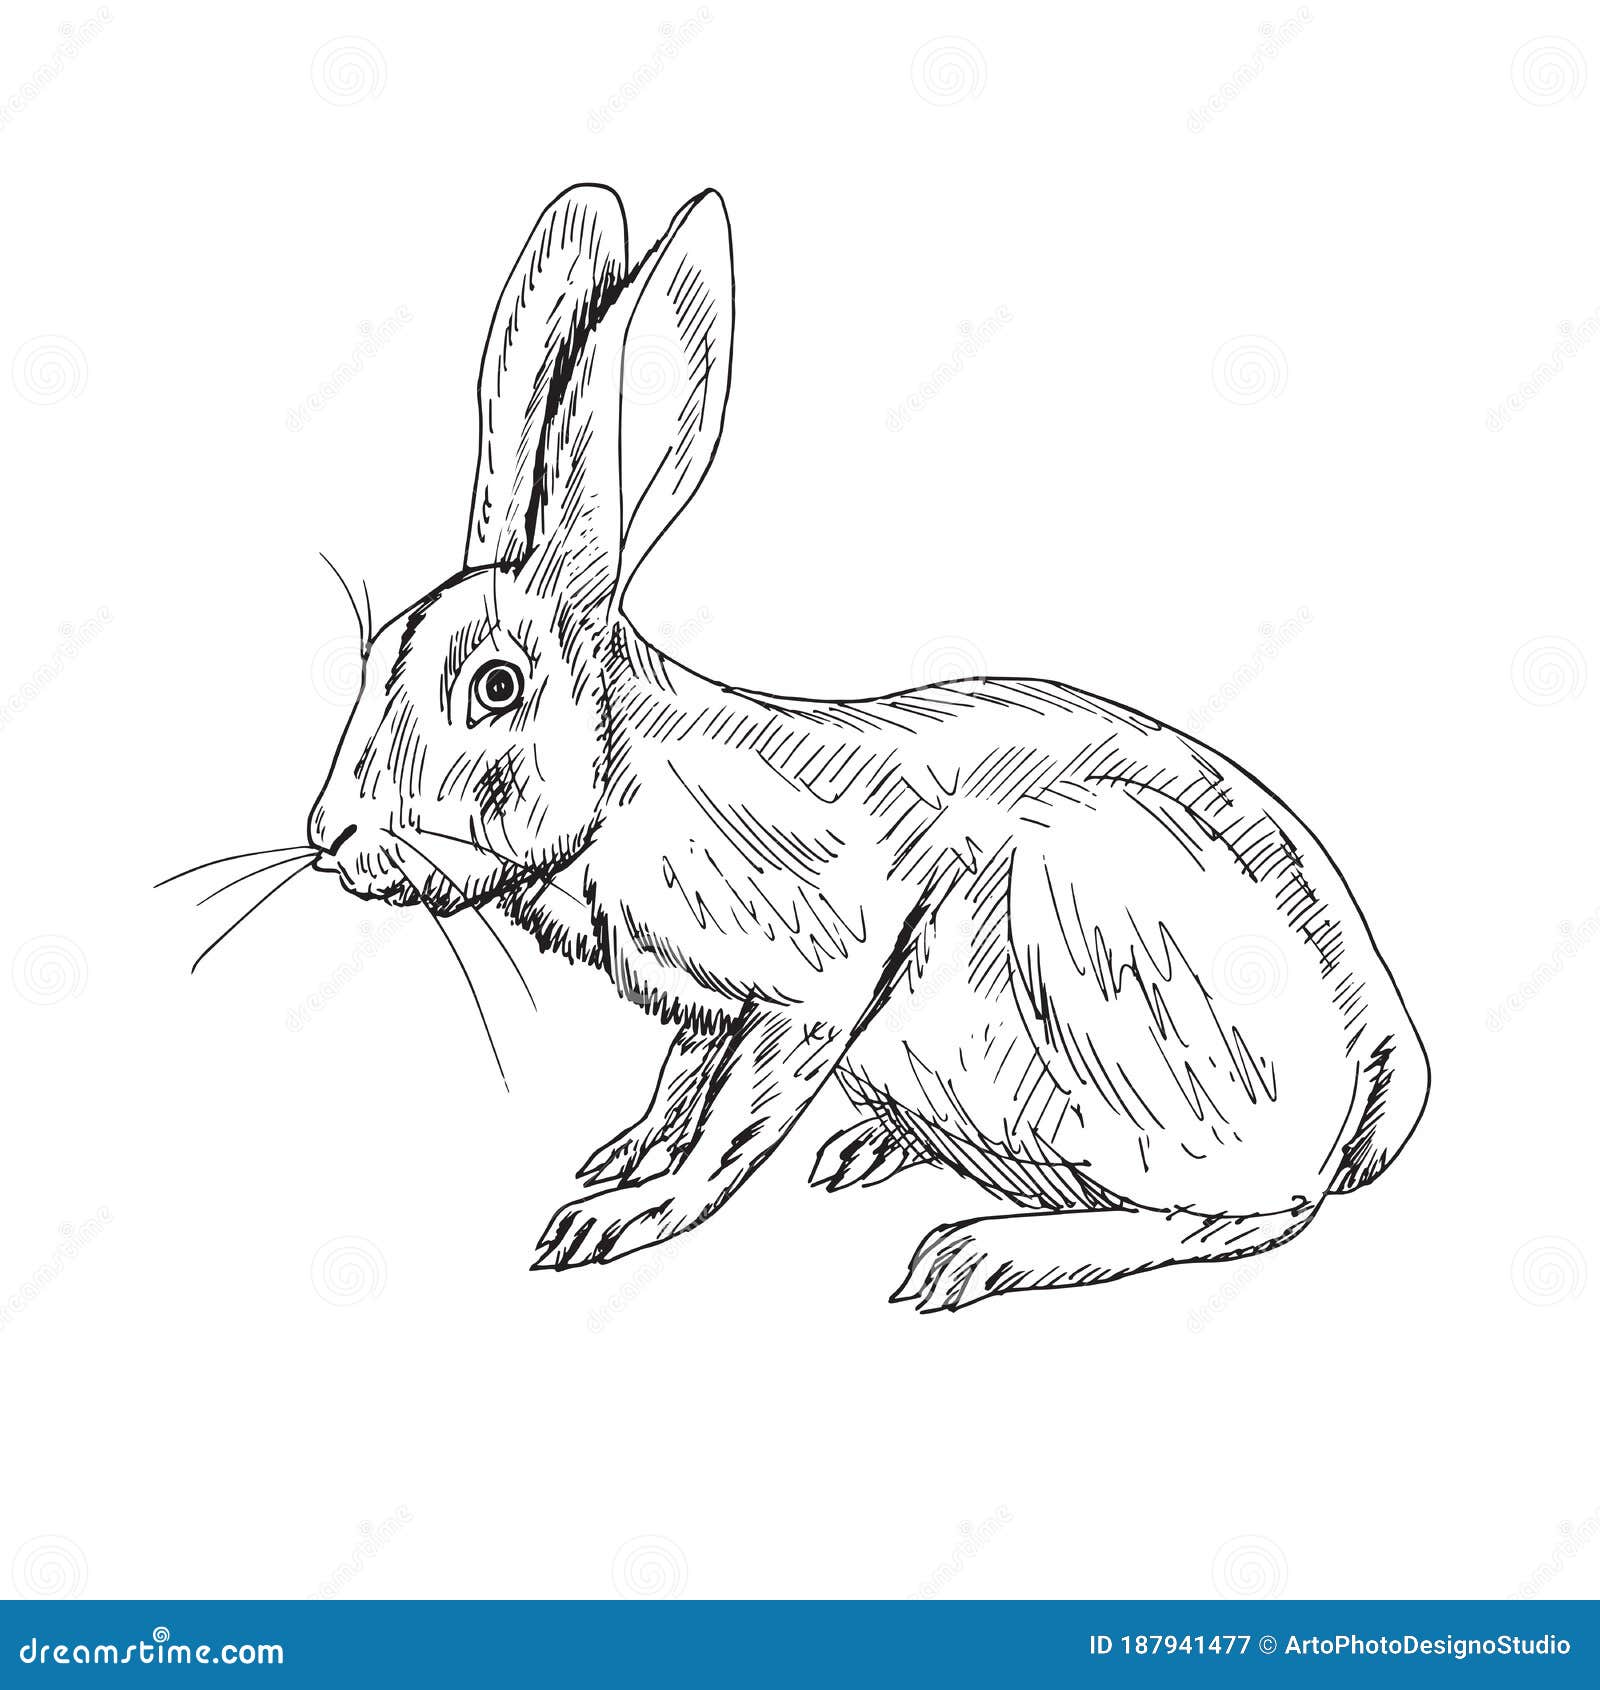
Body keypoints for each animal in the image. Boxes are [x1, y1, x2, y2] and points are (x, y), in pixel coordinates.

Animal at [305, 183, 1429, 1312]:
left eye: (495, 687)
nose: (331, 837)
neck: (624, 780)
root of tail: (1374, 1074)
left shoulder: (808, 987)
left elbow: (733, 1127)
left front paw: (617, 1217)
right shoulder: (706, 1017)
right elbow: (682, 1086)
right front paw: (621, 1154)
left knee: (1249, 1216)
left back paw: (977, 1252)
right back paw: (874, 1148)